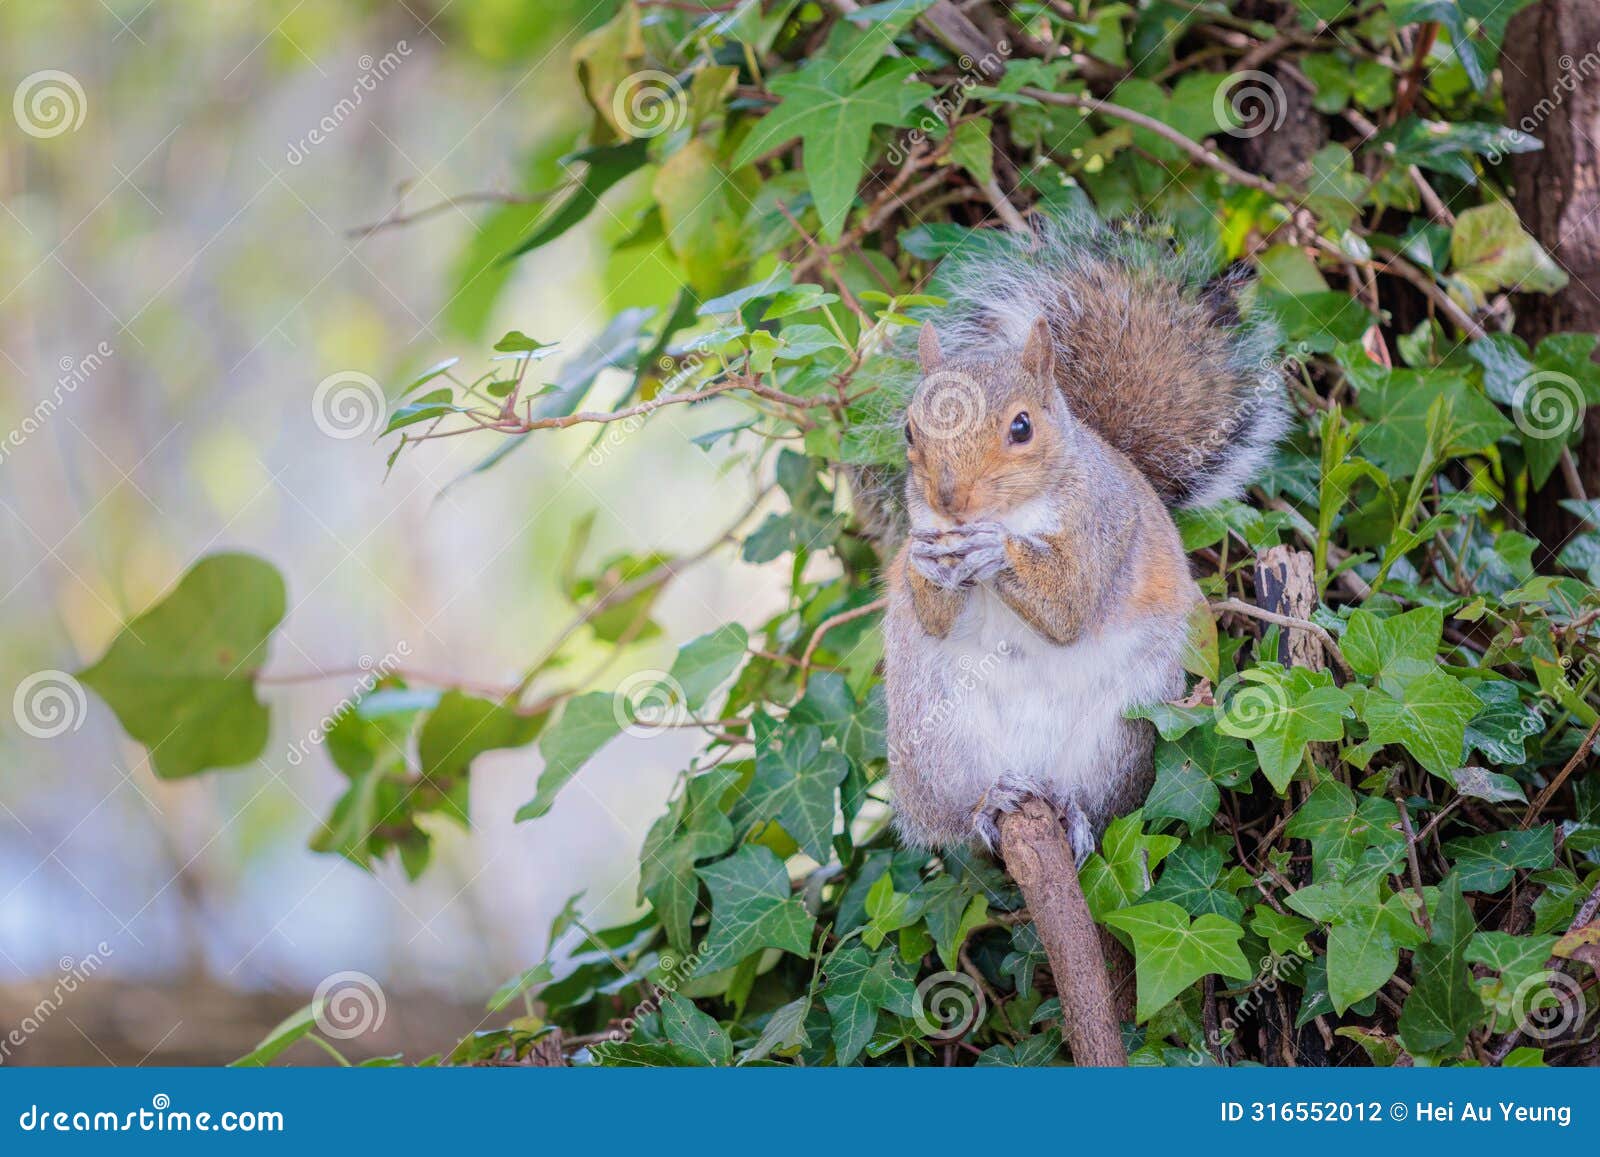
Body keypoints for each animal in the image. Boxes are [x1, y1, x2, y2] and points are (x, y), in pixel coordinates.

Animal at [882, 221, 1287, 863]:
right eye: (908, 430)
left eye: (1022, 427)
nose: (949, 501)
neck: (1016, 510)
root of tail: (1033, 773)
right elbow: (933, 615)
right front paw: (925, 563)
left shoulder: (1102, 527)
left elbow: (1068, 605)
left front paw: (995, 550)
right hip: (935, 740)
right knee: (956, 819)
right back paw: (990, 803)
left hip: (1119, 735)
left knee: (1098, 804)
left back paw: (1072, 813)